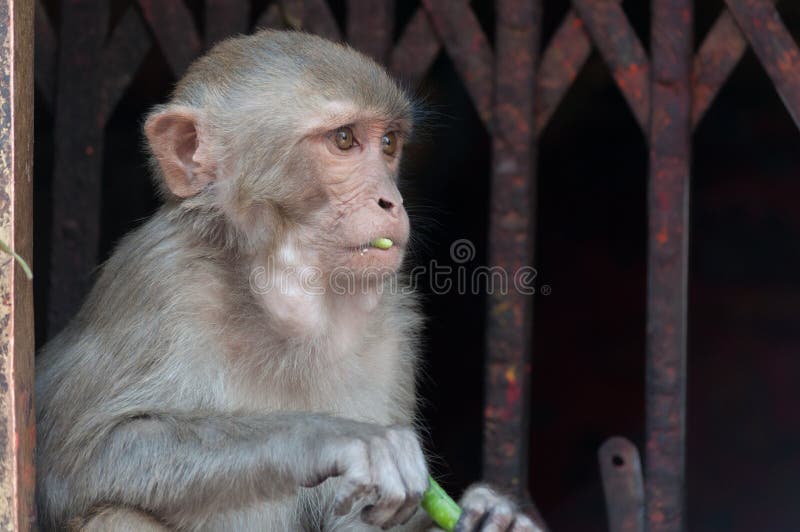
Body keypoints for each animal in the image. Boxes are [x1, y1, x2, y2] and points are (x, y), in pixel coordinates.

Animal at [34, 30, 540, 532]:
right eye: (344, 139)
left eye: (389, 143)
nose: (390, 201)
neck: (278, 308)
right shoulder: (157, 278)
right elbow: (74, 461)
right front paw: (329, 437)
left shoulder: (391, 324)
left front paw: (495, 513)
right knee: (119, 514)